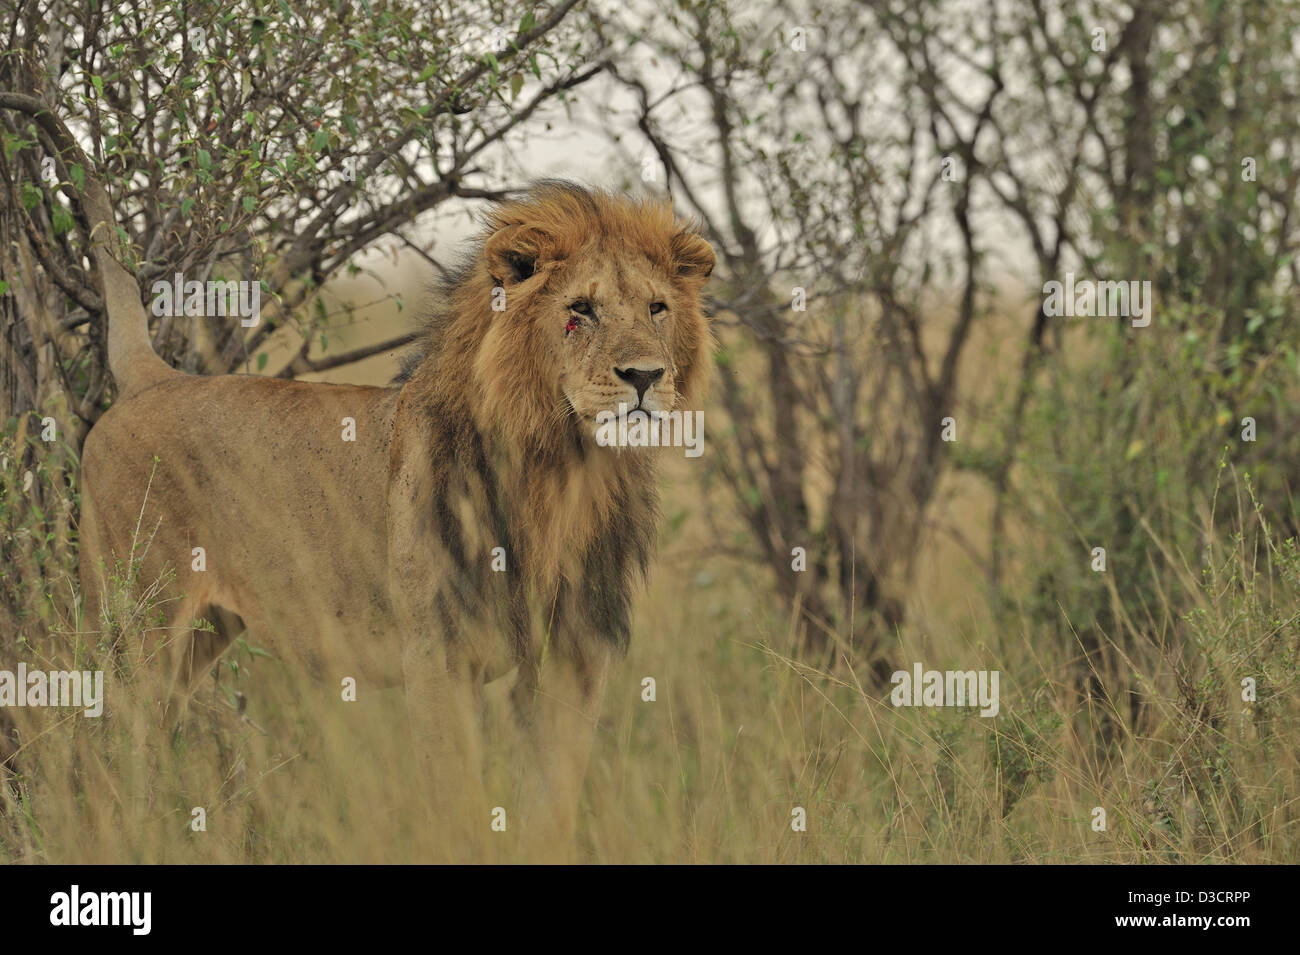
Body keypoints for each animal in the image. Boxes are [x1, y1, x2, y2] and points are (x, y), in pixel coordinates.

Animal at [77, 179, 715, 852]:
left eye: (657, 309)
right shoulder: (437, 654)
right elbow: (458, 801)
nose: (645, 376)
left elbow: (554, 802)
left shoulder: (578, 651)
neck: (565, 471)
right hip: (136, 630)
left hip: (201, 636)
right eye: (581, 310)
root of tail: (151, 379)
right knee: (111, 748)